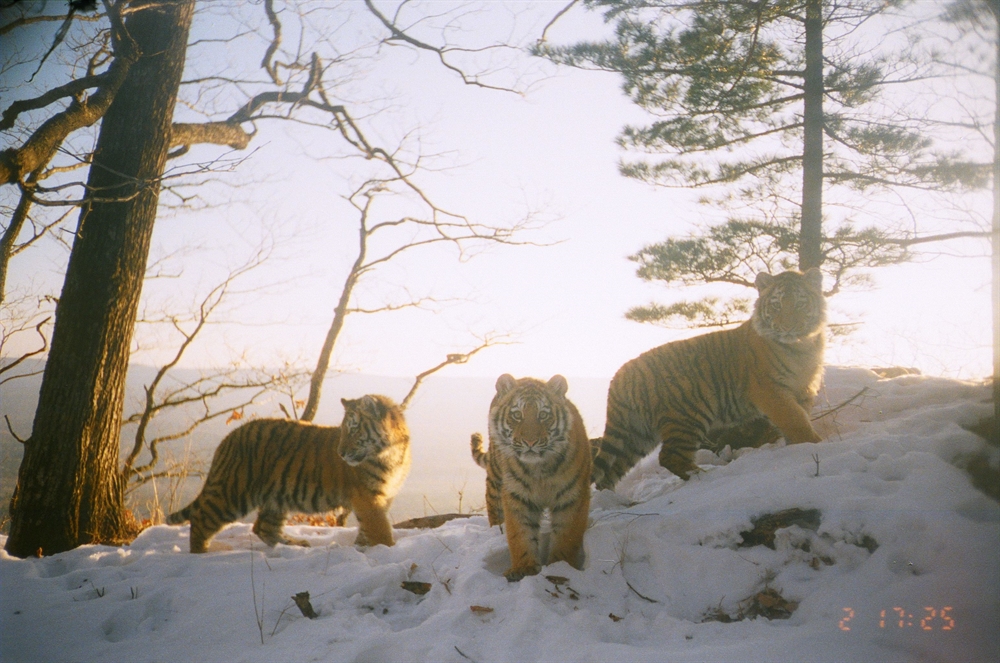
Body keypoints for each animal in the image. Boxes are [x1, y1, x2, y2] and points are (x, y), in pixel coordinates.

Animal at [167, 394, 410, 553]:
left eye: (354, 429)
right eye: (346, 429)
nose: (340, 453)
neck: (392, 452)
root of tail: (229, 438)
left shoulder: (383, 497)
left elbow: (368, 530)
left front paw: (363, 547)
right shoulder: (367, 498)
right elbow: (380, 529)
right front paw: (387, 550)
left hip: (276, 497)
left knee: (263, 527)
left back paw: (298, 545)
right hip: (233, 492)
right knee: (201, 520)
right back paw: (200, 554)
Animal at [470, 374, 592, 581]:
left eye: (543, 415)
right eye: (517, 415)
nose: (530, 442)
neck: (539, 470)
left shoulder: (573, 496)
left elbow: (567, 534)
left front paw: (560, 566)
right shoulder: (517, 496)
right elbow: (520, 534)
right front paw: (524, 568)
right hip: (495, 475)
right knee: (492, 502)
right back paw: (496, 530)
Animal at [592, 268, 826, 490]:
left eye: (800, 303)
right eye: (776, 305)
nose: (787, 327)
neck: (801, 346)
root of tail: (620, 376)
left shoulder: (804, 389)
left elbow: (800, 418)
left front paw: (799, 447)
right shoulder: (771, 391)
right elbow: (795, 419)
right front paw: (816, 444)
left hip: (636, 435)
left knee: (608, 474)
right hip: (686, 417)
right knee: (669, 456)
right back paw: (705, 476)